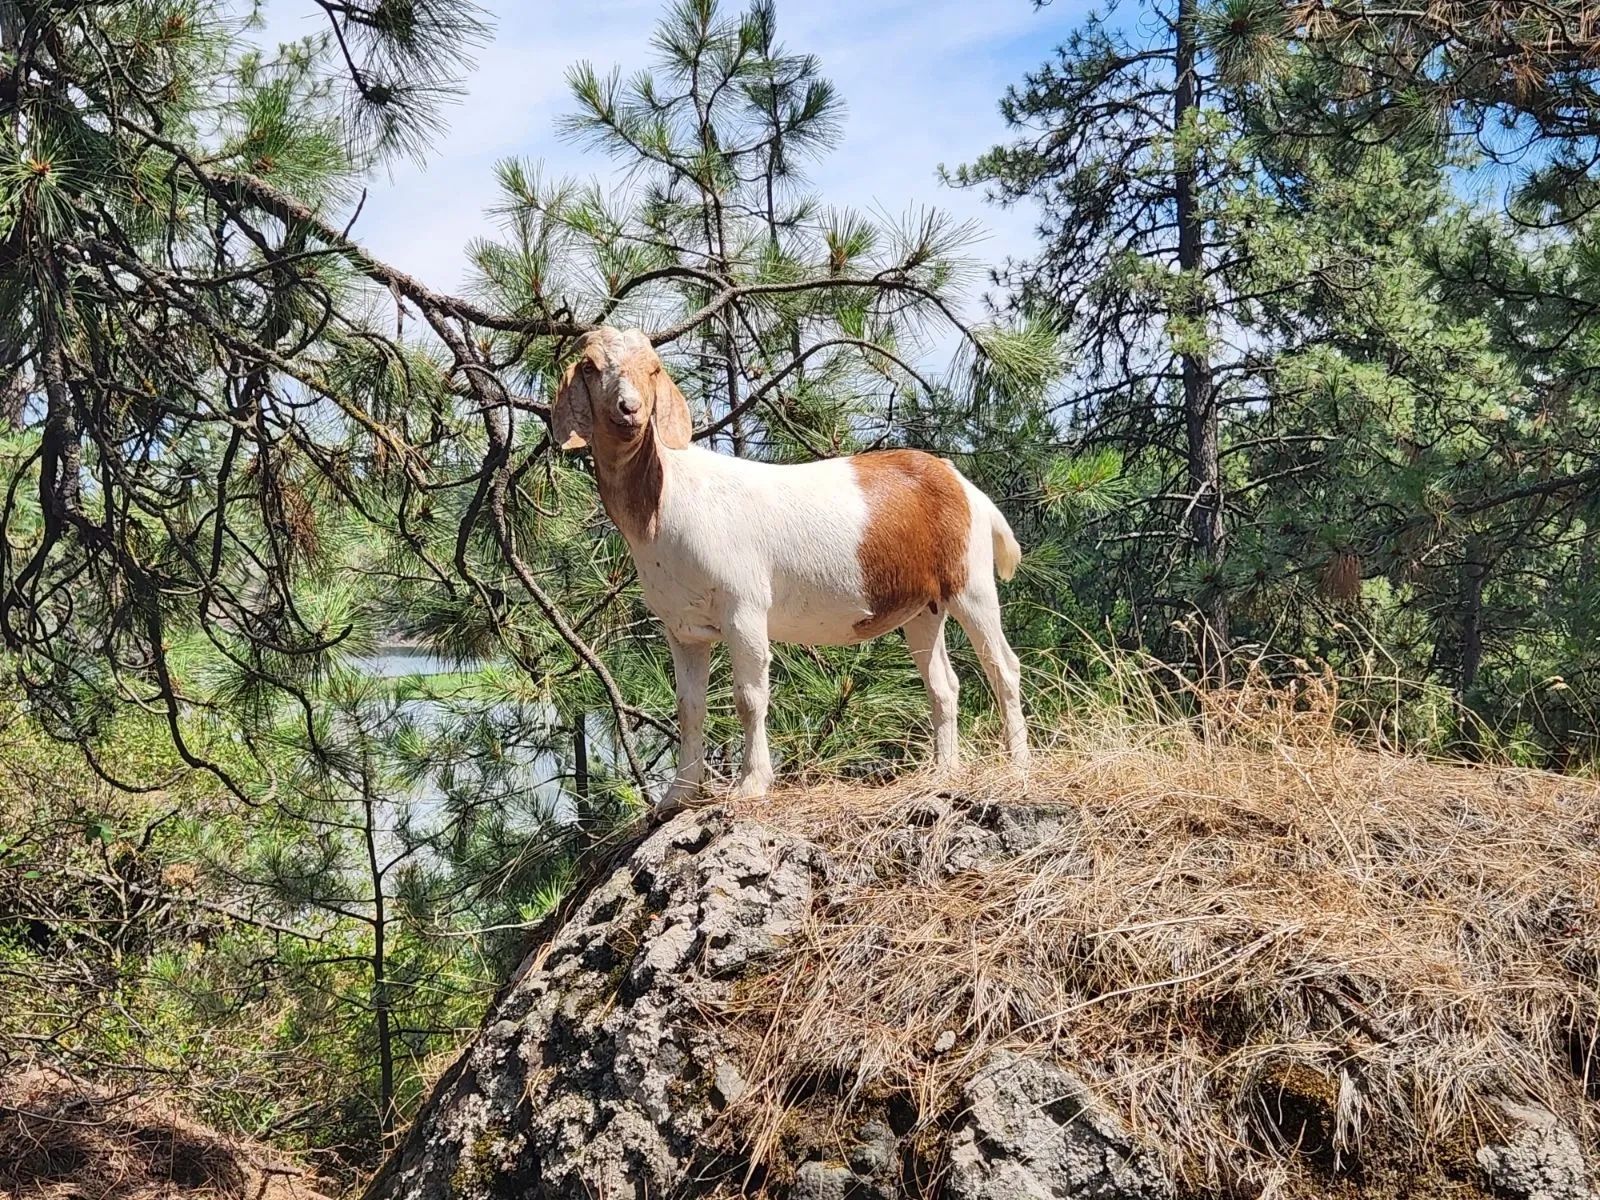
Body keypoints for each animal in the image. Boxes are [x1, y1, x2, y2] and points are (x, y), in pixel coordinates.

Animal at [552, 326, 1028, 808]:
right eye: (590, 367)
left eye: (653, 369)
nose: (628, 409)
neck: (669, 497)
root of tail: (967, 488)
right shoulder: (682, 628)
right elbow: (689, 708)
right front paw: (677, 797)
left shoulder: (743, 608)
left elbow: (749, 698)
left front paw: (752, 784)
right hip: (924, 608)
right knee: (943, 685)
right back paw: (943, 772)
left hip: (970, 583)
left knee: (1003, 667)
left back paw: (1016, 765)